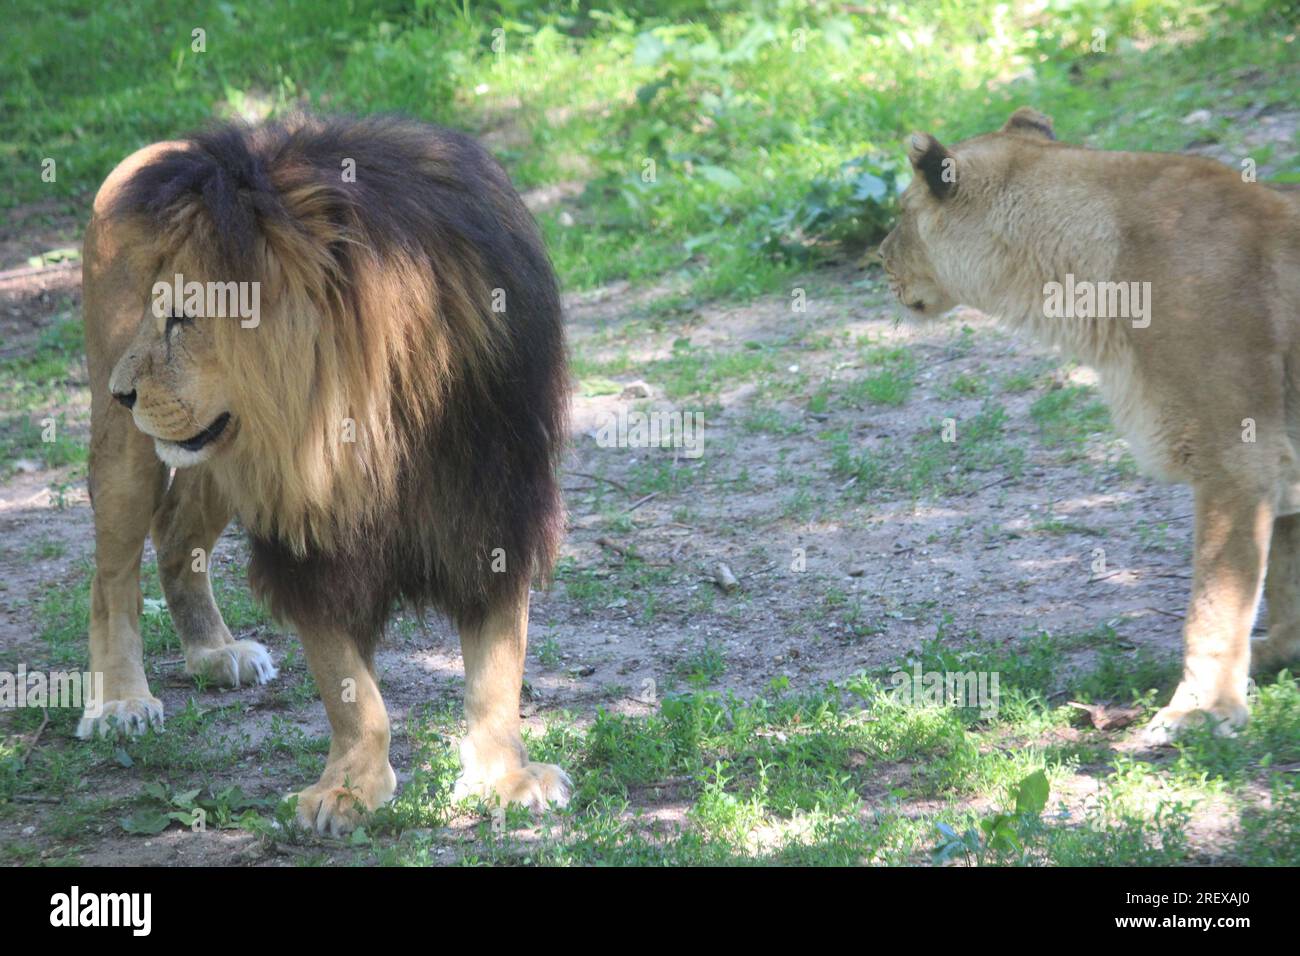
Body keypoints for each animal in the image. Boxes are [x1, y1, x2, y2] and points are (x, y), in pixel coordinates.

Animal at [78, 114, 572, 834]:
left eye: (184, 315)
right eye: (155, 307)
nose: (123, 391)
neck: (380, 412)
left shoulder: (496, 504)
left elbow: (497, 667)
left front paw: (505, 776)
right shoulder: (308, 533)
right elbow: (349, 687)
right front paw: (347, 789)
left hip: (216, 456)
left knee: (174, 532)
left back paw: (213, 652)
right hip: (130, 454)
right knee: (111, 574)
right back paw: (119, 701)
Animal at [880, 107, 1300, 743]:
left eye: (902, 214)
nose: (879, 259)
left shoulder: (1238, 455)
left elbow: (1215, 600)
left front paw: (1200, 710)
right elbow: (1286, 581)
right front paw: (1277, 654)